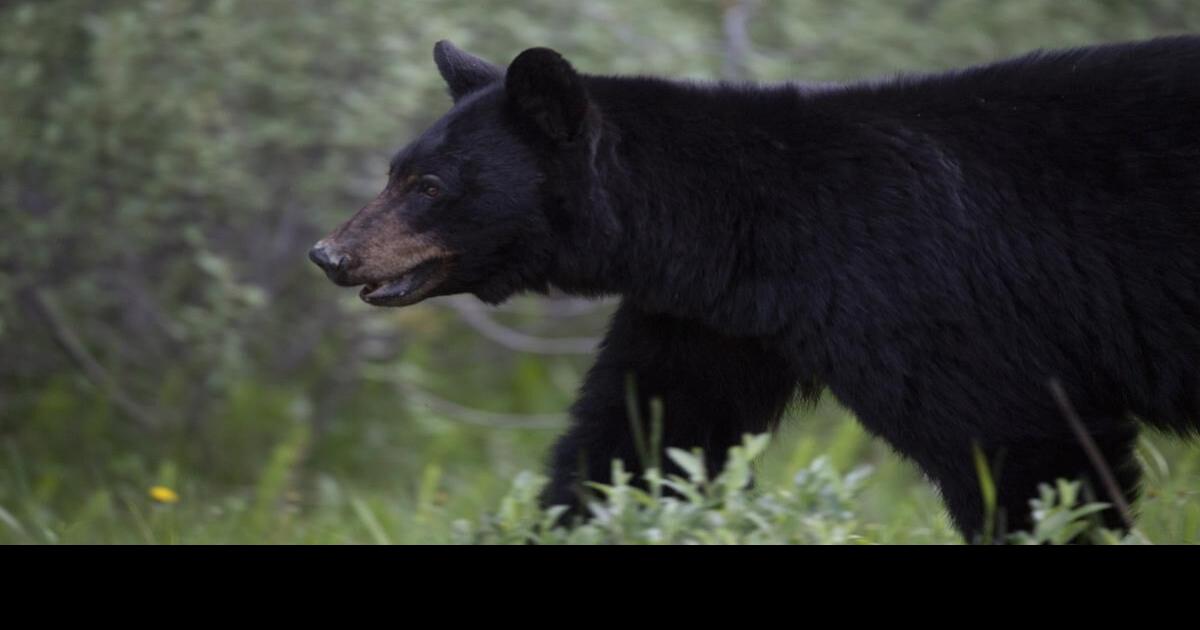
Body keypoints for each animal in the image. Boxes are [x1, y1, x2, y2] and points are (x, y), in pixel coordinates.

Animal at [310, 36, 1200, 542]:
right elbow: (642, 440)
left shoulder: (916, 289)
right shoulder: (712, 320)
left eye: (429, 186)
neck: (744, 226)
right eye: (395, 170)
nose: (330, 254)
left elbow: (1020, 442)